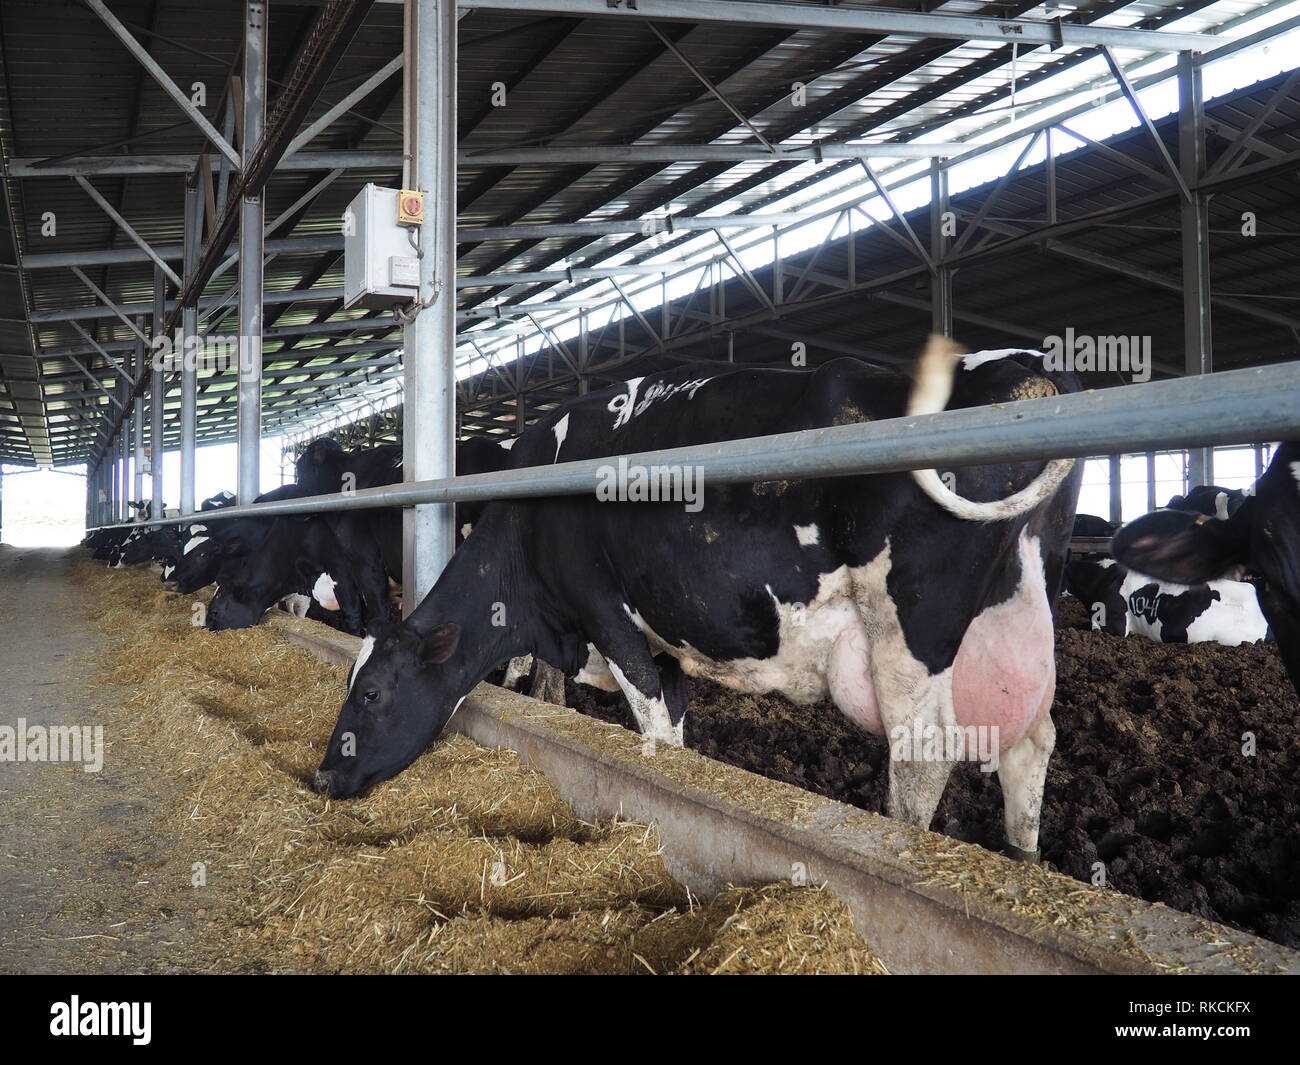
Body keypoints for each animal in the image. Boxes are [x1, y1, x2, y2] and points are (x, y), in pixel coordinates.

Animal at [315, 341, 1082, 863]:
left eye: (373, 692)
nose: (324, 774)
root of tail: (1020, 370)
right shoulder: (656, 645)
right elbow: (652, 722)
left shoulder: (610, 618)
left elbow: (653, 730)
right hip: (1018, 612)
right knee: (1032, 743)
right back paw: (1023, 856)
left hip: (911, 637)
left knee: (924, 759)